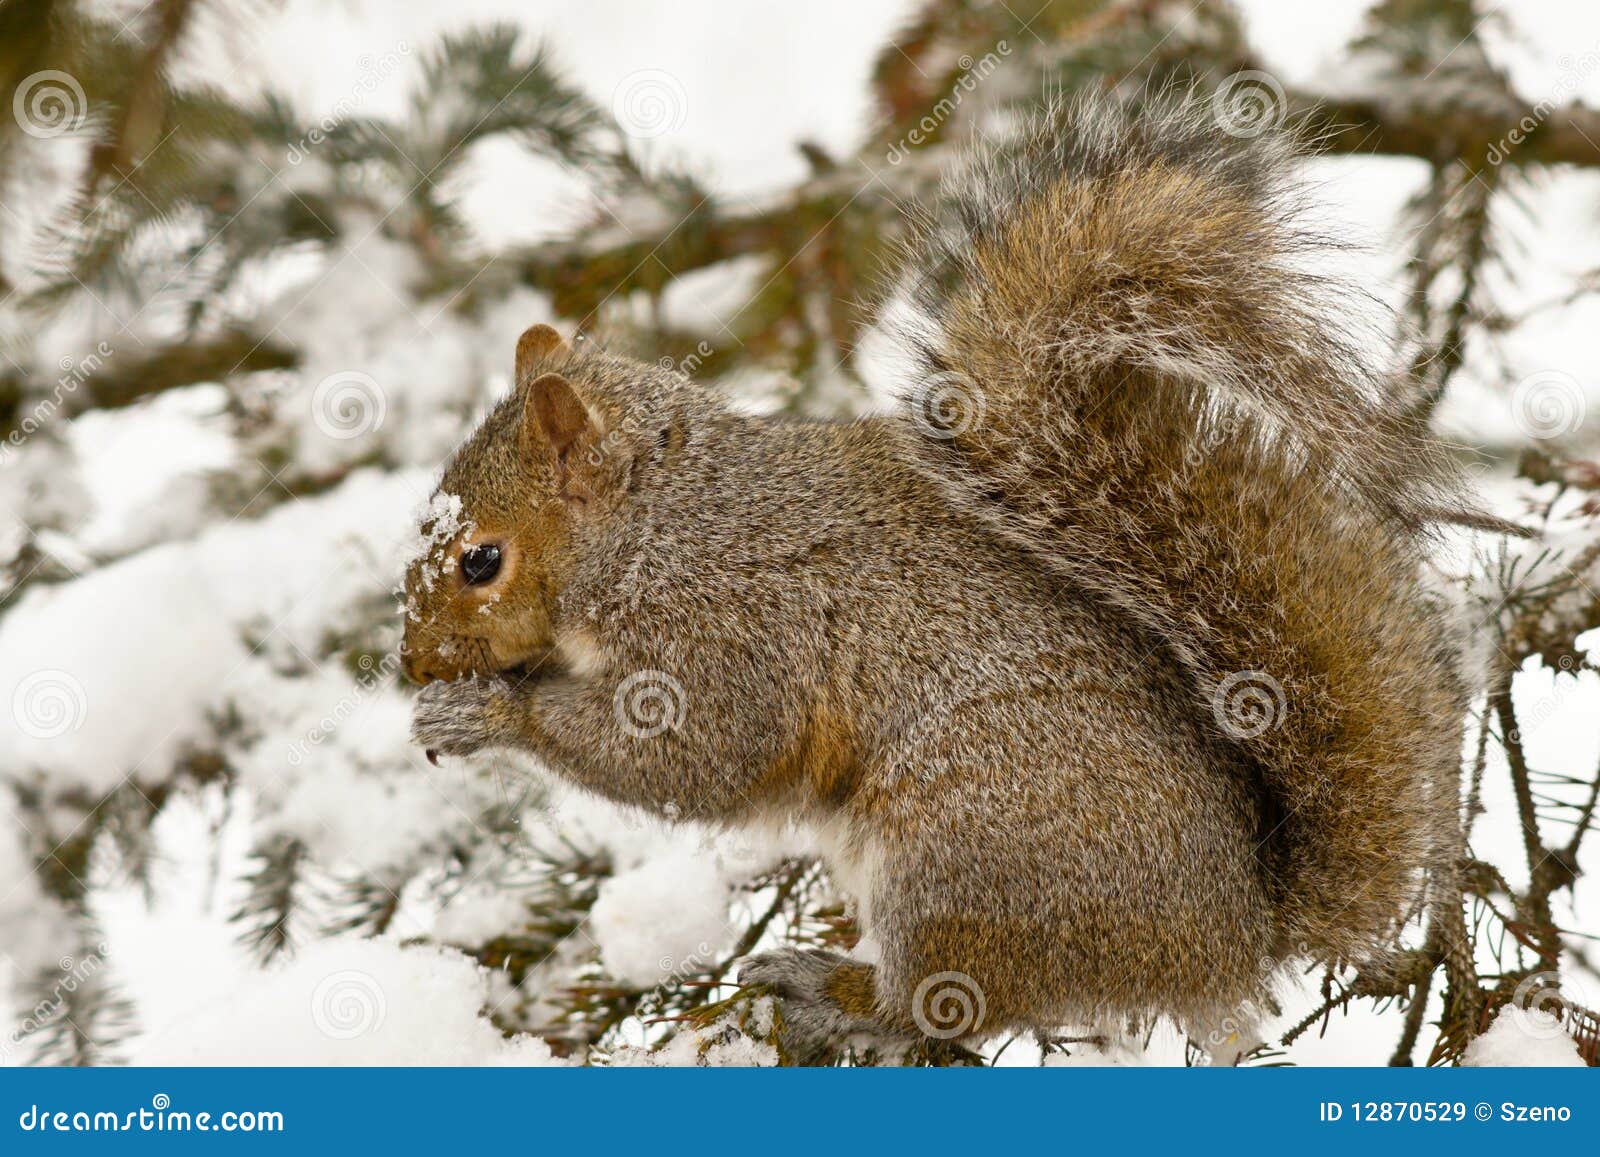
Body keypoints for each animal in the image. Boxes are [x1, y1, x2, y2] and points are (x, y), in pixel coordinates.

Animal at [403, 92, 1468, 1060]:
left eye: (480, 559)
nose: (411, 662)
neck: (657, 527)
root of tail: (1232, 936)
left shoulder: (729, 627)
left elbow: (694, 755)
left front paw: (487, 711)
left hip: (964, 853)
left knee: (944, 1001)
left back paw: (832, 990)